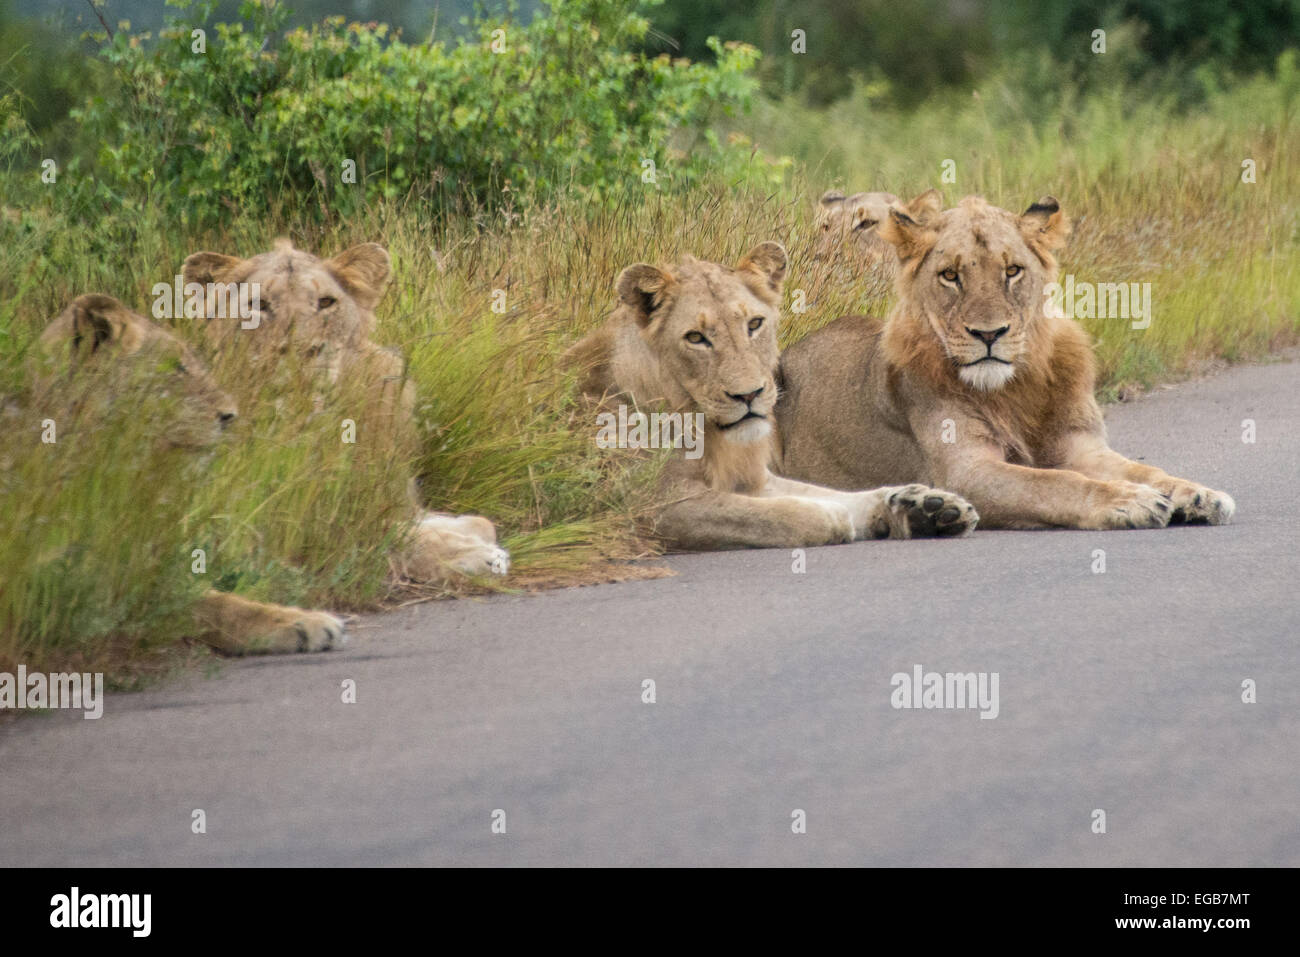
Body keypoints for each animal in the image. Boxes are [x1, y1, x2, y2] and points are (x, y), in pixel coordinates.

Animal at [36, 241, 508, 654]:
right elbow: (389, 540)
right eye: (259, 306)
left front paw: (470, 535)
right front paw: (476, 555)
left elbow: (449, 521)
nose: (304, 352)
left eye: (326, 303)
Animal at [567, 242, 979, 549]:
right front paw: (836, 518)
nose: (749, 395)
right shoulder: (656, 506)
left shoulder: (755, 480)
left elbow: (835, 493)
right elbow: (776, 515)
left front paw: (921, 506)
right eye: (696, 338)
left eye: (754, 324)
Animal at [775, 193, 1235, 530]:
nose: (989, 334)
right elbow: (1055, 482)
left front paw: (1197, 495)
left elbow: (1145, 469)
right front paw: (1128, 501)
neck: (1016, 385)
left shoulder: (1081, 446)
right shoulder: (966, 473)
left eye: (1013, 271)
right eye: (950, 275)